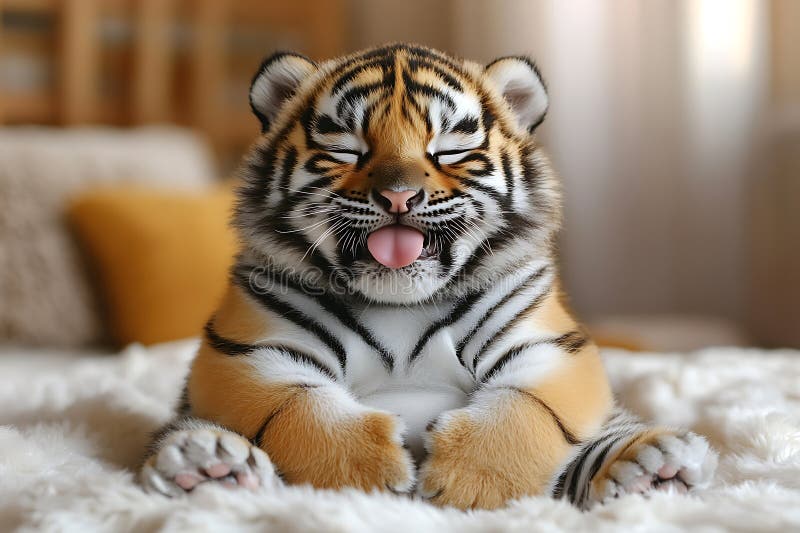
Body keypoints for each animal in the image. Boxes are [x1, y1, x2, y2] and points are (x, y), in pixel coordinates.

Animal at [139, 43, 717, 510]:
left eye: (450, 149)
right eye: (347, 148)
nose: (399, 196)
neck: (401, 304)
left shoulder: (547, 345)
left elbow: (522, 410)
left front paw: (469, 486)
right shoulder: (254, 350)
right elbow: (304, 409)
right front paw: (369, 479)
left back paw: (653, 466)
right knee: (184, 433)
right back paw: (209, 466)